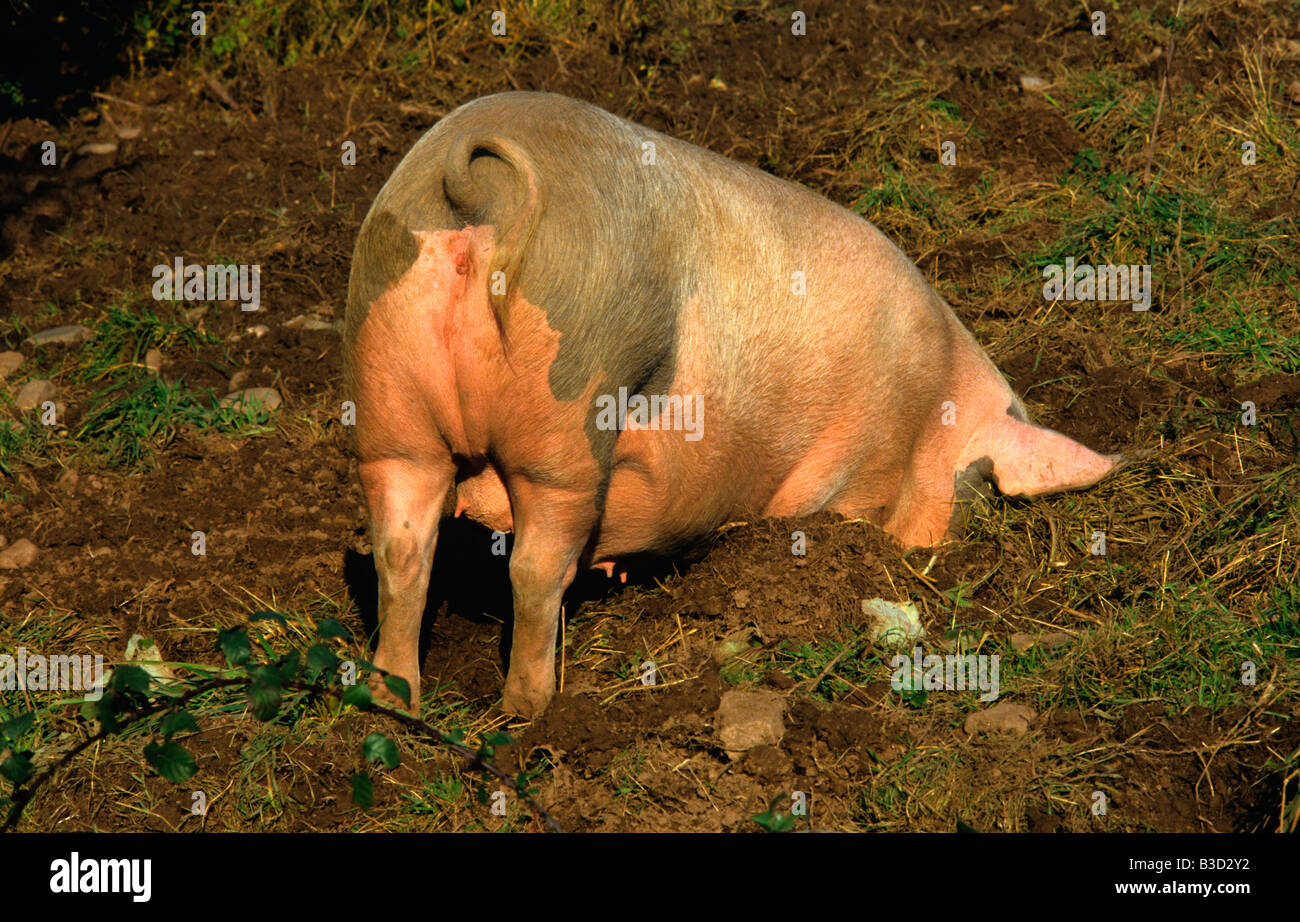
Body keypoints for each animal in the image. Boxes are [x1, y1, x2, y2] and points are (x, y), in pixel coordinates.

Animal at [343, 92, 1123, 718]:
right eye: (985, 484)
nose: (950, 544)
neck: (938, 397)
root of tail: (472, 188)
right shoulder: (864, 456)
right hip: (572, 399)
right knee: (534, 565)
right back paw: (533, 710)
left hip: (387, 395)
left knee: (403, 548)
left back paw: (395, 702)